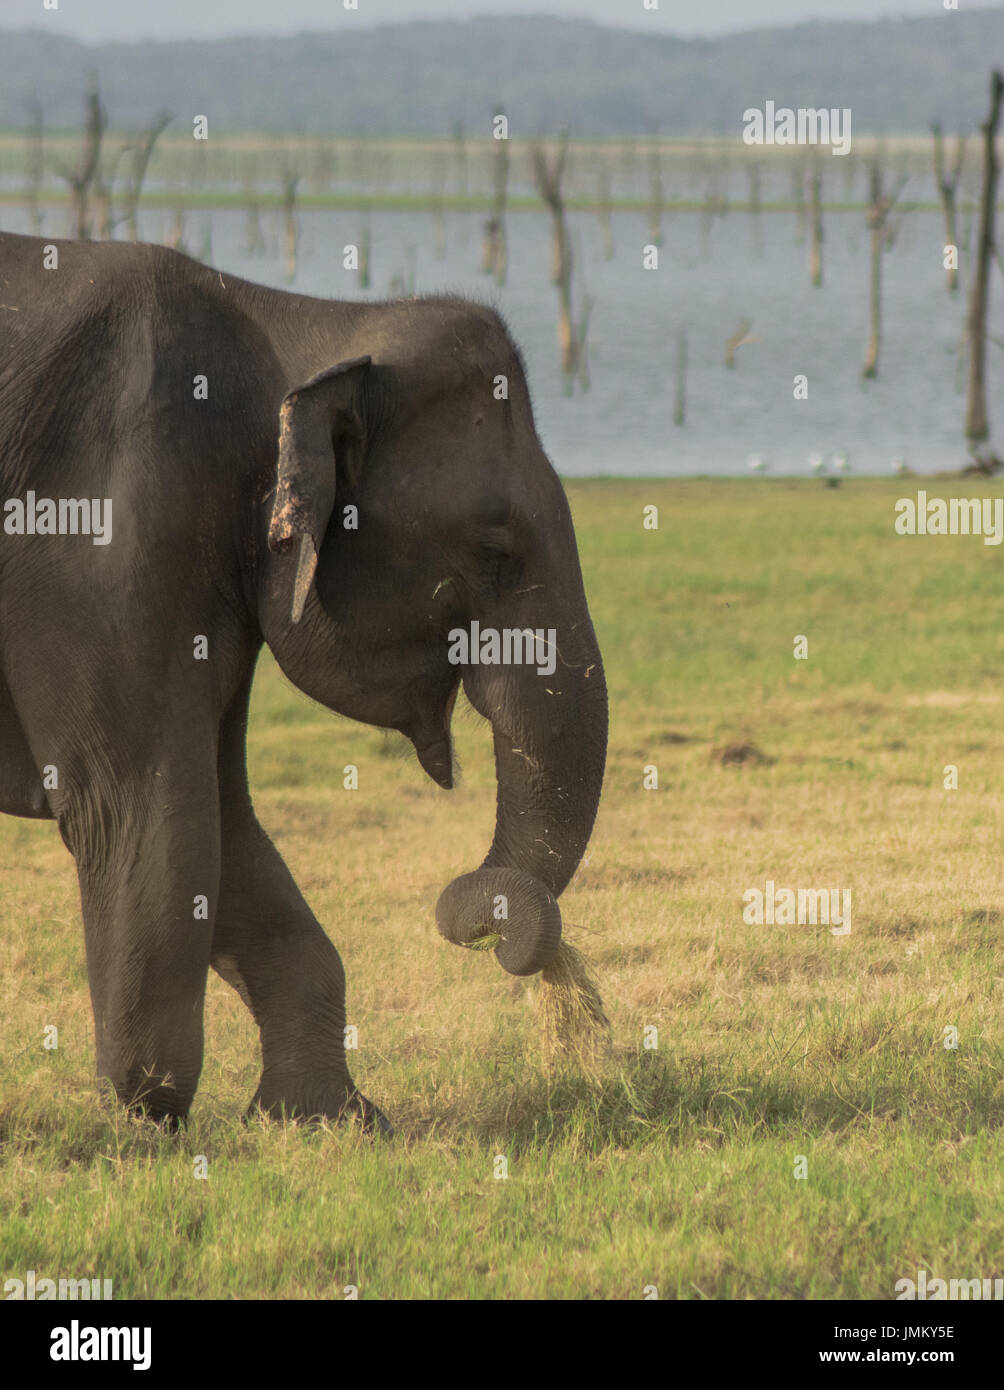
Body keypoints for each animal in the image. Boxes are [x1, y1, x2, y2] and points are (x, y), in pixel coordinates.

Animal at [0, 231, 607, 1131]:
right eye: (497, 551)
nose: (479, 925)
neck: (295, 323)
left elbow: (223, 815)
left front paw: (331, 1118)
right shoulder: (99, 537)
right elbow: (143, 803)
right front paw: (151, 1115)